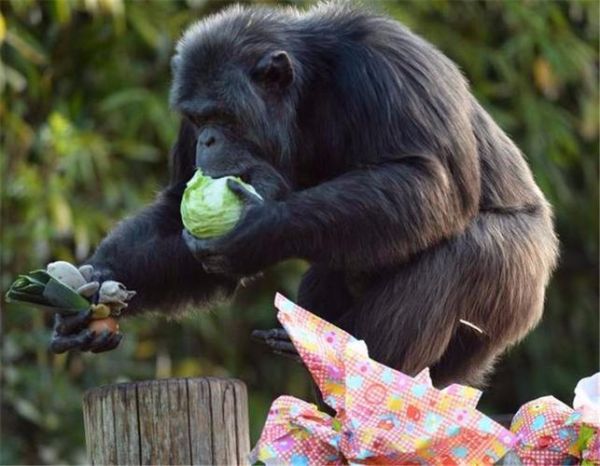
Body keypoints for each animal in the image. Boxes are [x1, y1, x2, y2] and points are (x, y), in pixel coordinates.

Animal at [51, 2, 556, 386]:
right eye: (198, 118)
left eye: (224, 116)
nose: (207, 141)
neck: (308, 90)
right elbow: (174, 209)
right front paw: (89, 288)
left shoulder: (386, 62)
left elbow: (426, 178)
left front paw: (255, 230)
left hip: (517, 283)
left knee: (453, 261)